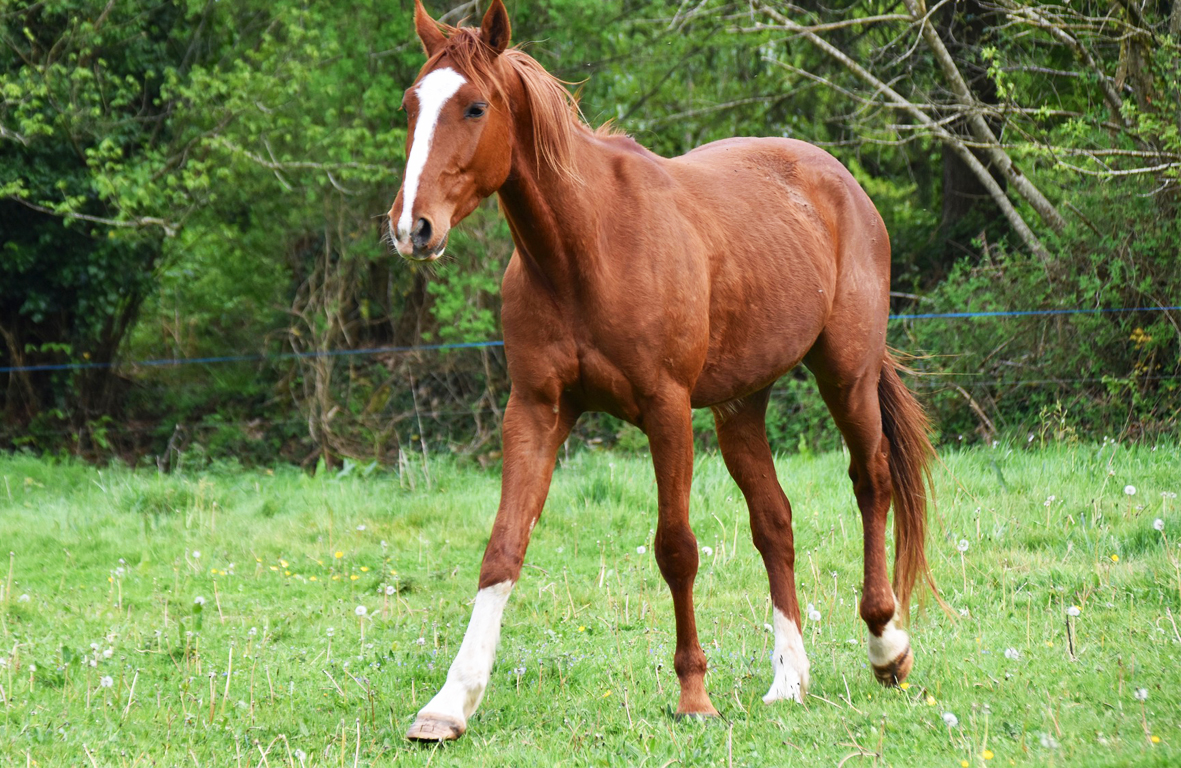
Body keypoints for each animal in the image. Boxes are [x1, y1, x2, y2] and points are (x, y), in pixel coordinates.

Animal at [388, 0, 938, 742]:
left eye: (475, 106)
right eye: (412, 104)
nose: (411, 228)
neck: (583, 249)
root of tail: (838, 179)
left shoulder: (666, 409)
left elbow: (676, 549)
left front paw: (693, 695)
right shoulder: (534, 409)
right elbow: (503, 547)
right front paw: (449, 702)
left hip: (845, 374)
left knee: (870, 483)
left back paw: (886, 644)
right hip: (741, 405)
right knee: (774, 522)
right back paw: (789, 678)